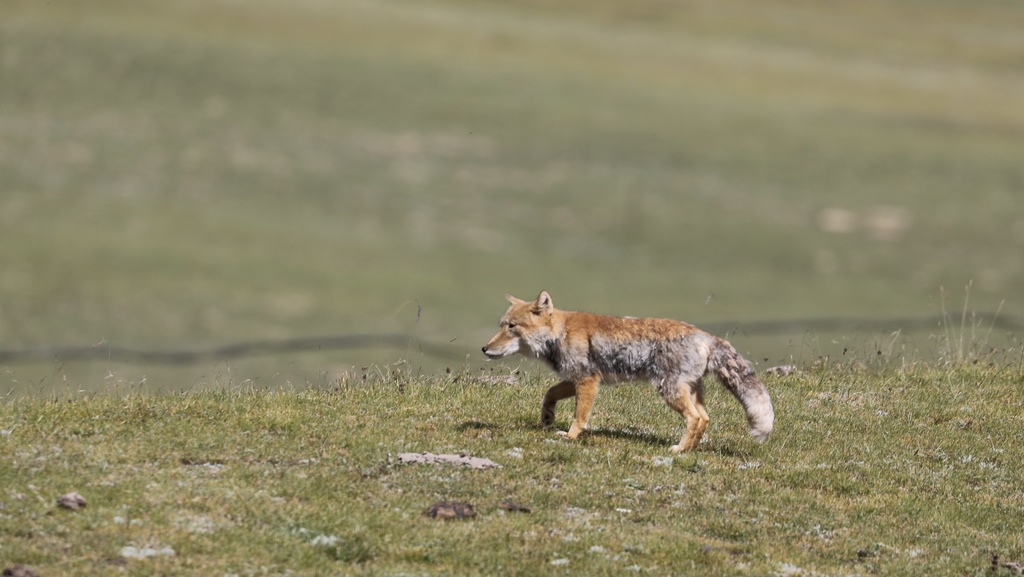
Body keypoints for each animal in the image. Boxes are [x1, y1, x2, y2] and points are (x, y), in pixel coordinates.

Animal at [482, 291, 774, 452]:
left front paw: (571, 436)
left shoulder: (588, 381)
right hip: (689, 391)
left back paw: (679, 449)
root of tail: (705, 335)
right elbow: (549, 393)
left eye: (512, 327)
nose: (484, 348)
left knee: (694, 418)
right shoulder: (576, 378)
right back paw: (689, 449)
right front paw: (546, 418)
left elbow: (579, 416)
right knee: (705, 419)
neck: (560, 333)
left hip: (669, 390)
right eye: (502, 324)